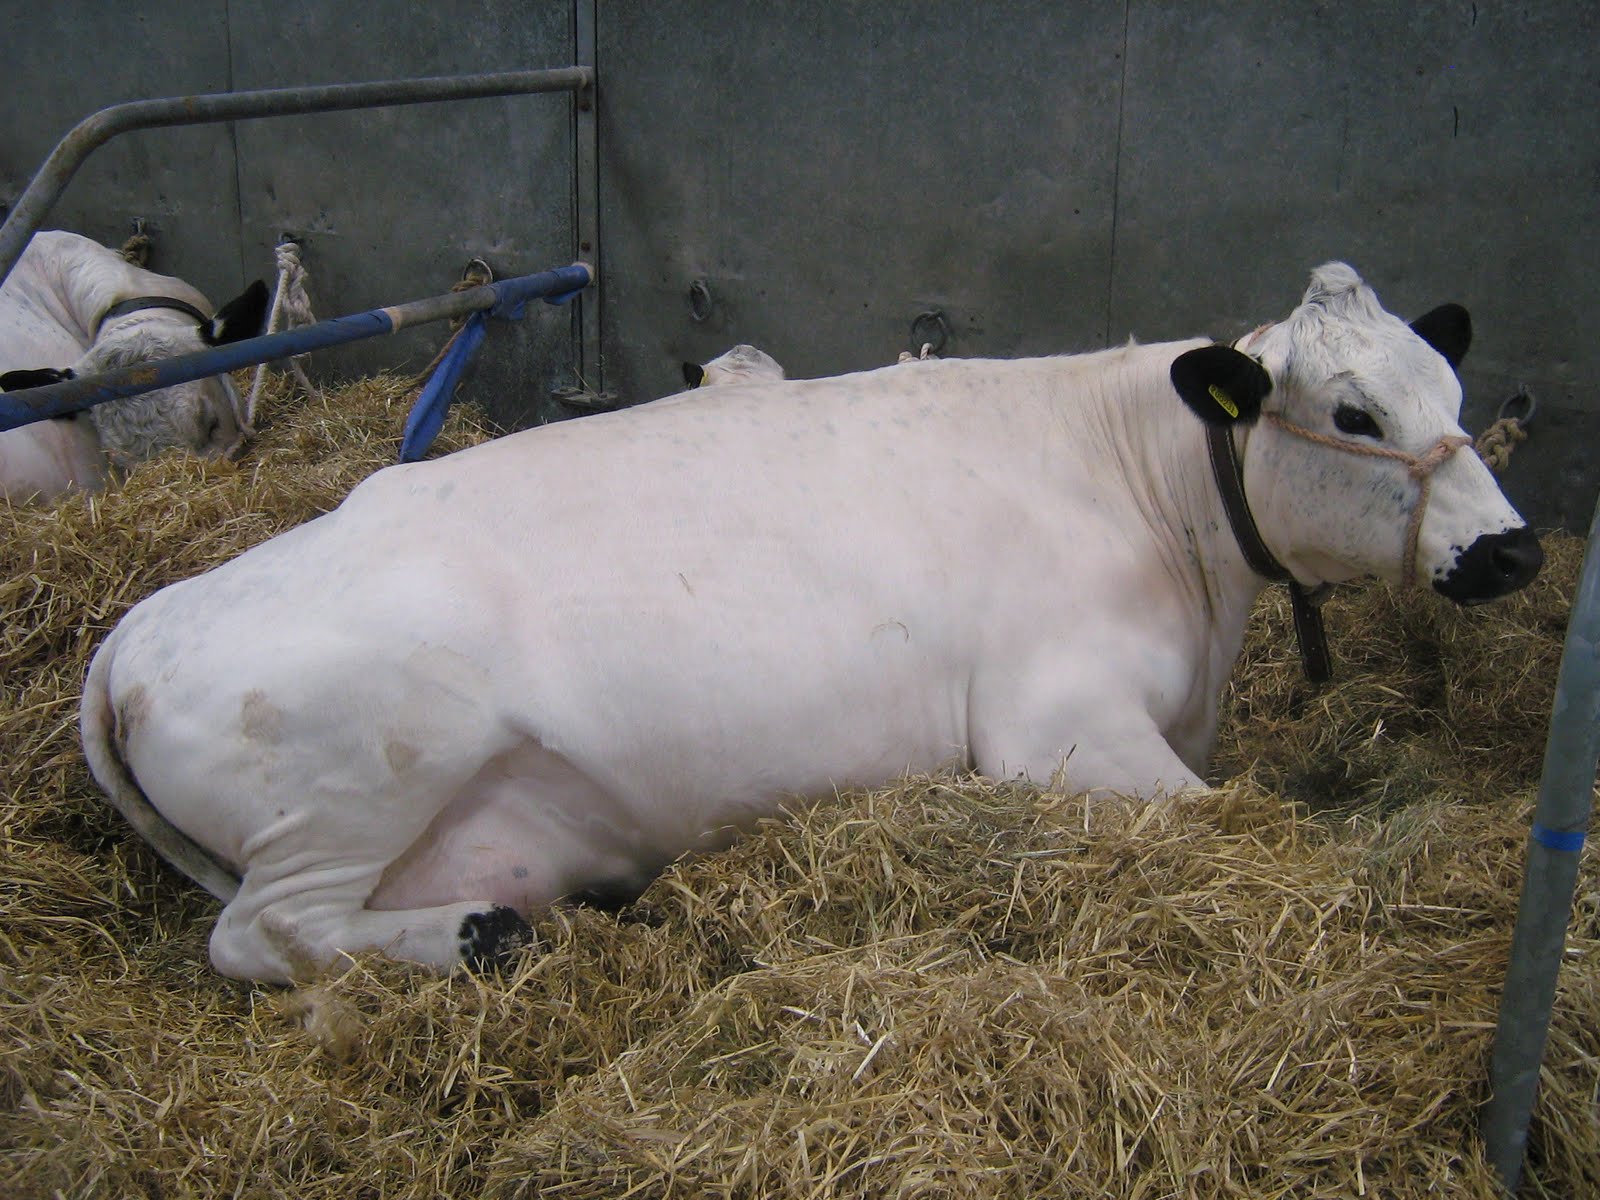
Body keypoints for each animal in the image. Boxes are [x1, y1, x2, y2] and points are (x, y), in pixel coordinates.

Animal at [79, 262, 1542, 983]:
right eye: (1354, 413)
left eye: (1453, 384)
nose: (1514, 547)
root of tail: (135, 630)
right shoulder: (1057, 727)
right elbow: (1235, 818)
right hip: (359, 779)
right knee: (262, 934)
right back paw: (477, 941)